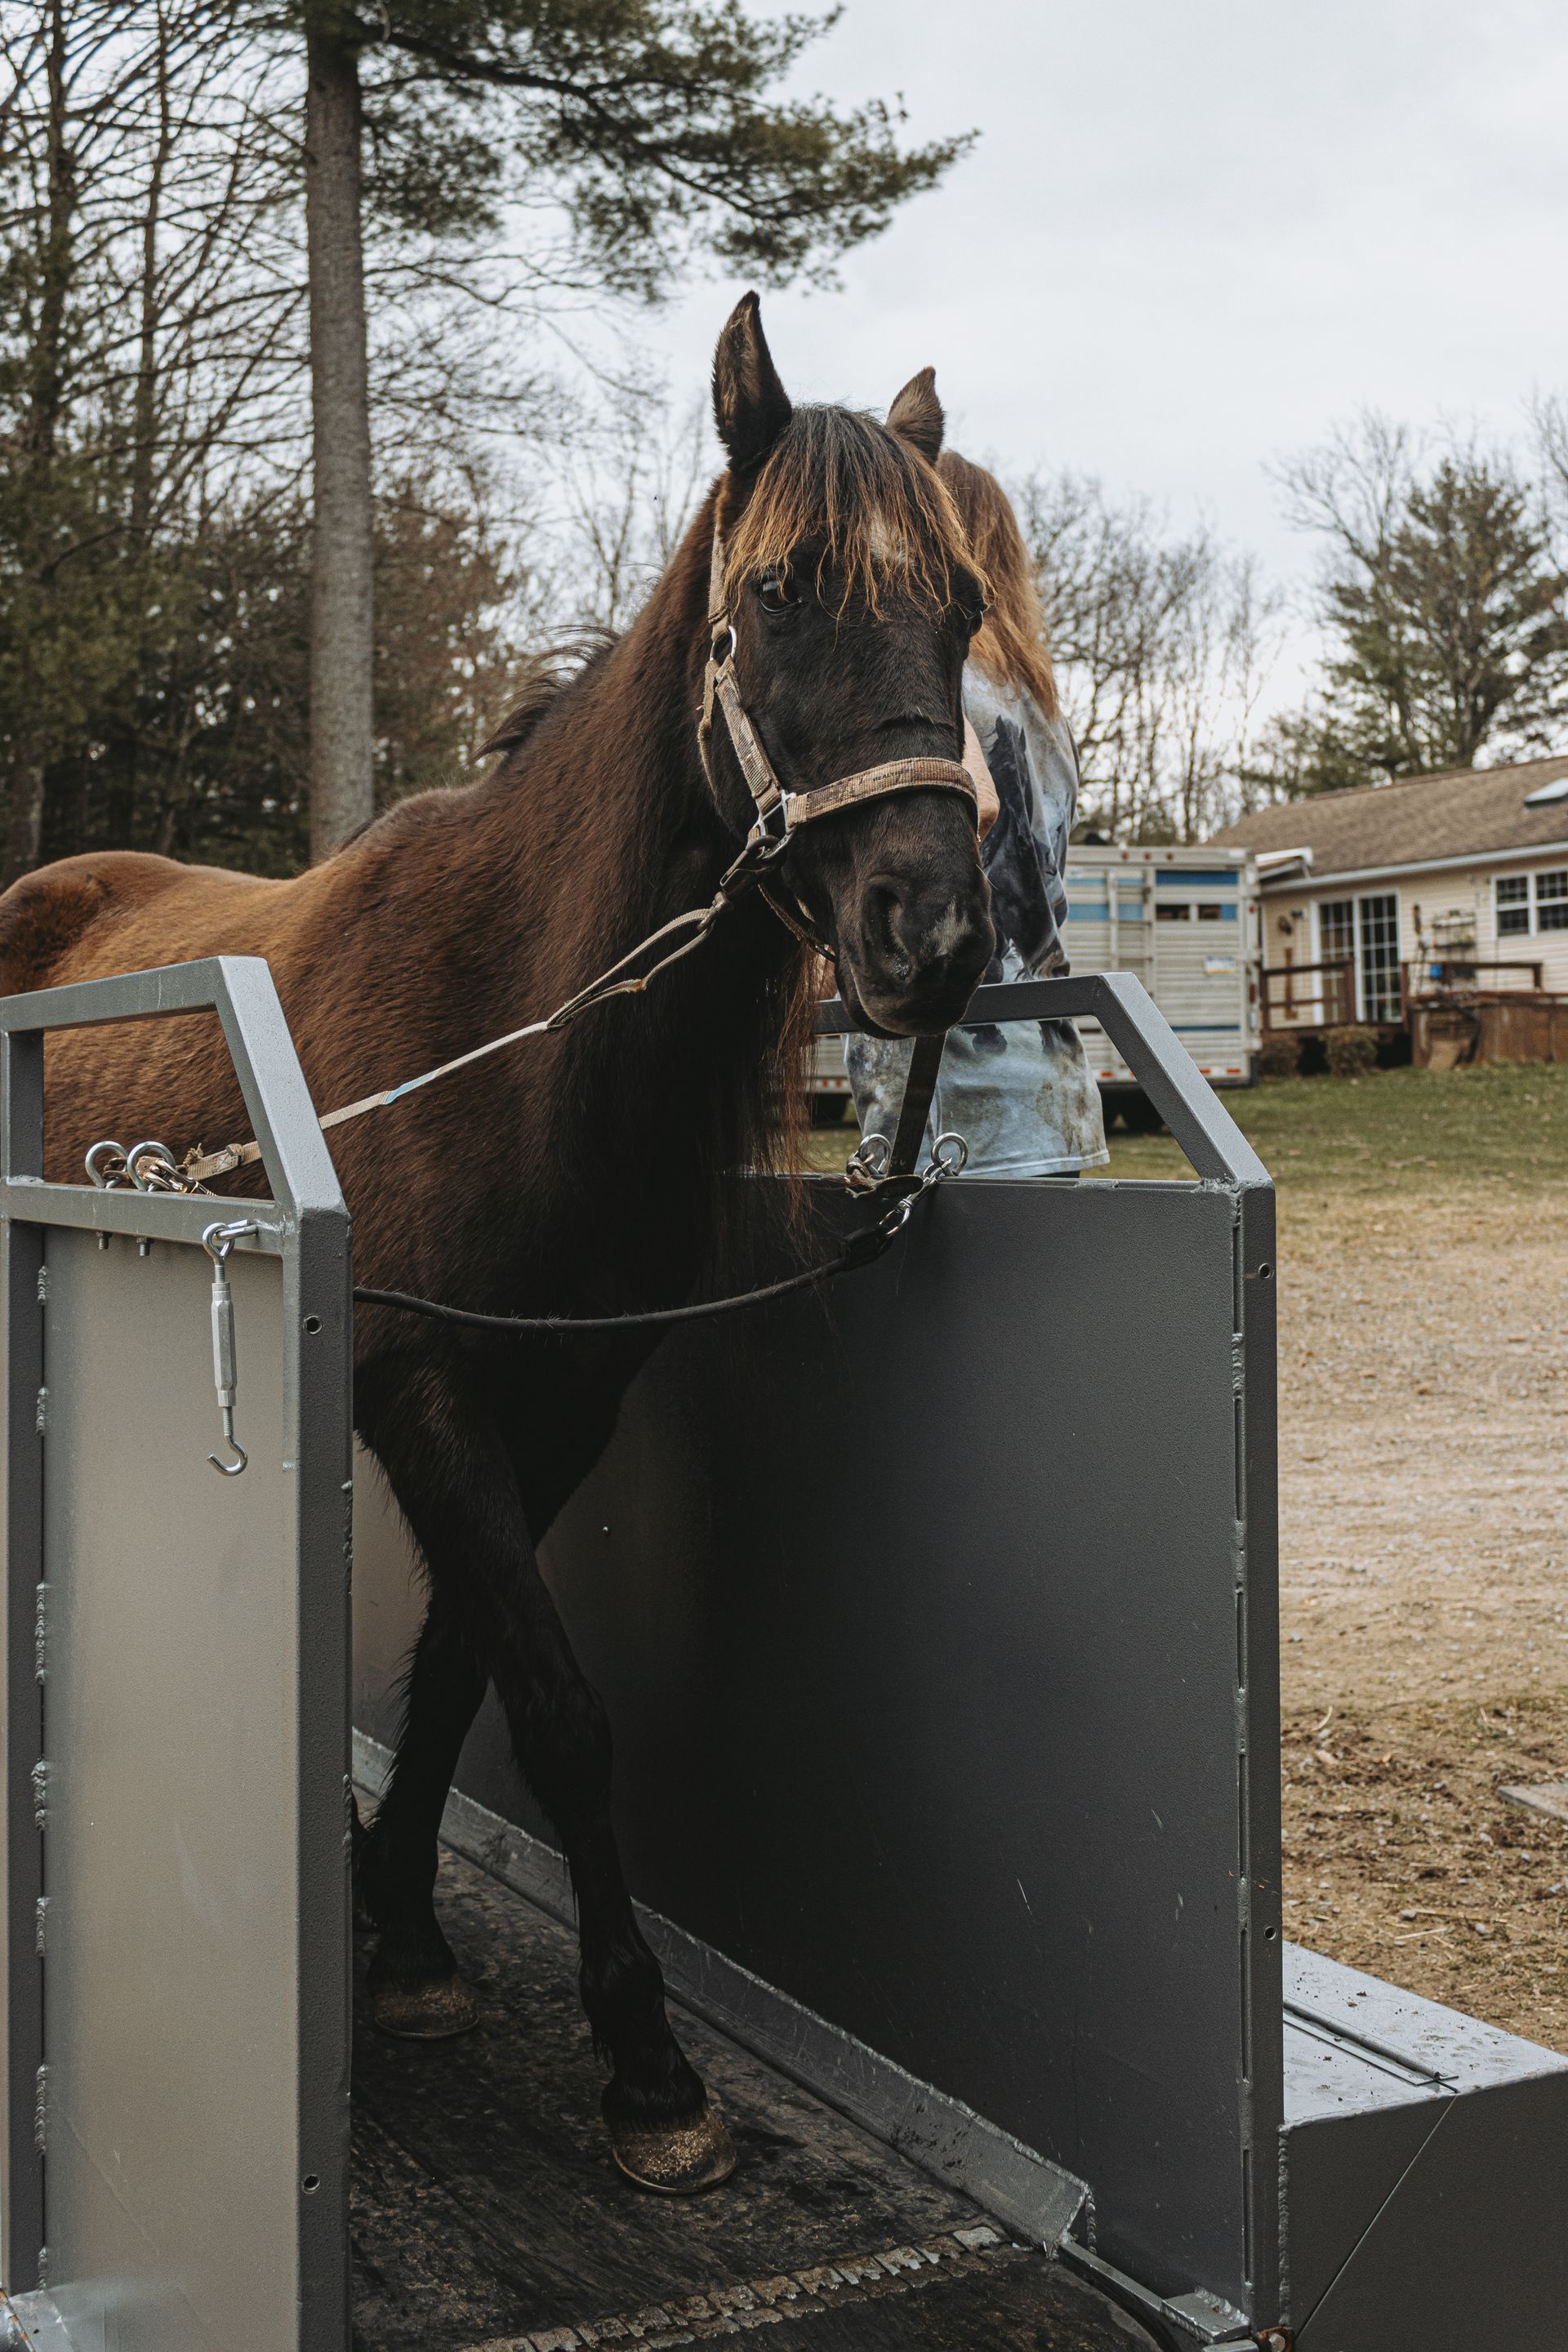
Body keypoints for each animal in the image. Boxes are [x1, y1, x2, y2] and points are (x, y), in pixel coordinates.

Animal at [0, 294, 995, 2193]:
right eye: (779, 594)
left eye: (964, 608)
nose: (936, 933)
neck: (515, 1022)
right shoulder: (425, 1391)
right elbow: (560, 1711)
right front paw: (649, 2067)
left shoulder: (555, 1404)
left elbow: (468, 1672)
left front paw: (402, 1936)